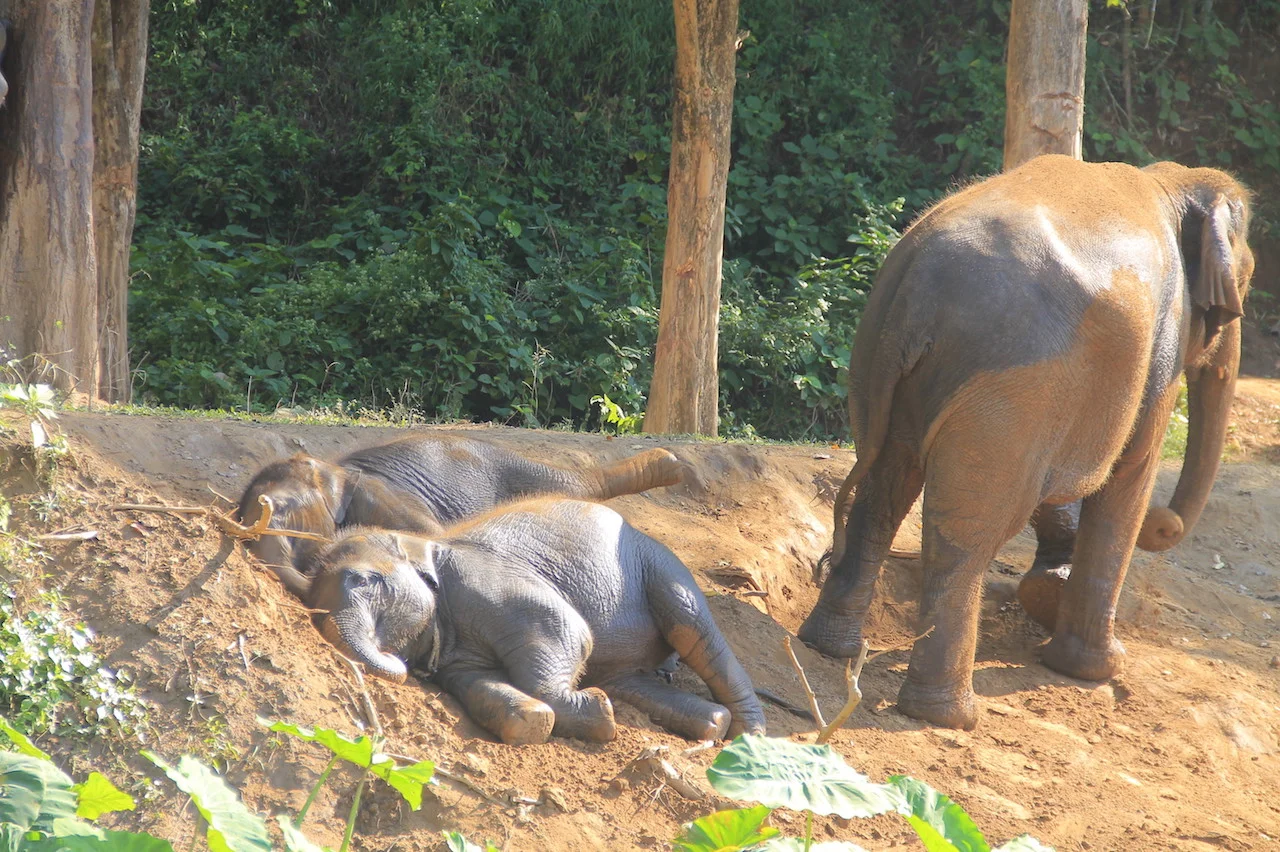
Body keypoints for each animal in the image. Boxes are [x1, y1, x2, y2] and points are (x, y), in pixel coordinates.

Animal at [236, 434, 683, 595]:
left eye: (285, 508)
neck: (331, 466)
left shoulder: (387, 497)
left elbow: (434, 534)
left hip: (519, 469)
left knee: (571, 485)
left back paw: (673, 466)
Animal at [296, 498, 768, 745]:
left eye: (365, 580)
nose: (398, 660)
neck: (425, 543)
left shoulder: (493, 585)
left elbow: (568, 632)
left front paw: (596, 713)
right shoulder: (456, 652)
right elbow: (480, 686)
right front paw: (535, 718)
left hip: (659, 564)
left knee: (694, 630)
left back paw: (748, 737)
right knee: (628, 680)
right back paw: (713, 723)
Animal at [798, 155, 1254, 730]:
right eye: (1241, 289)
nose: (1165, 523)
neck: (1170, 179)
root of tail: (917, 280)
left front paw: (1048, 593)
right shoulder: (1163, 344)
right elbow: (1129, 473)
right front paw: (1097, 667)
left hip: (880, 363)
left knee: (884, 489)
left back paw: (830, 647)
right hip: (1009, 391)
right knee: (967, 534)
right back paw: (949, 716)